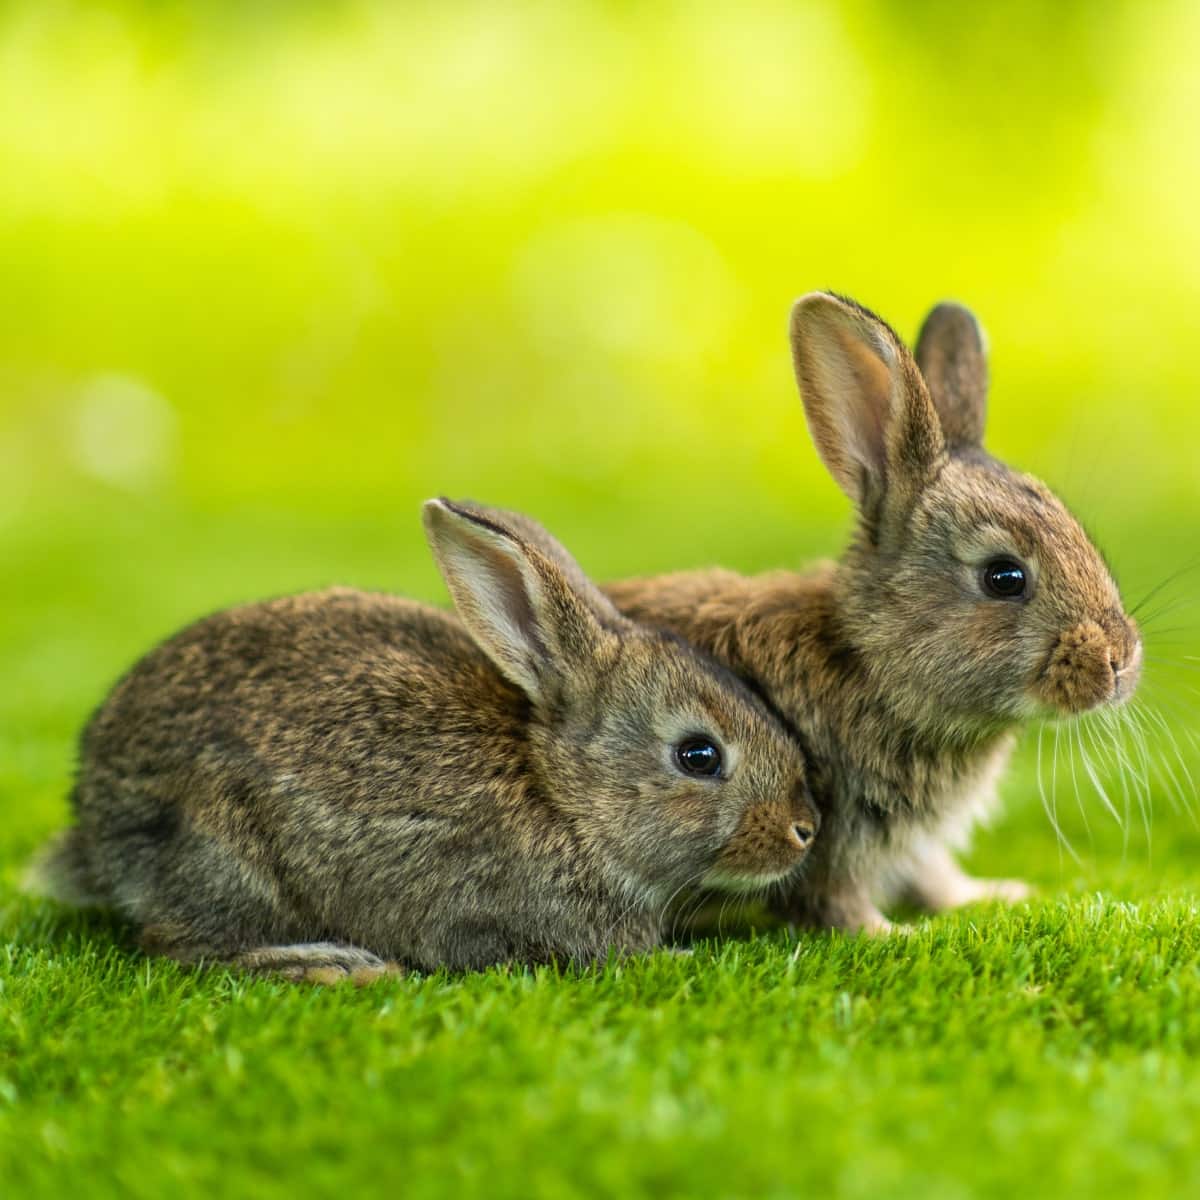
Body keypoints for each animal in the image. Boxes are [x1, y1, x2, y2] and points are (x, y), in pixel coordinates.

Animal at [33, 499, 818, 980]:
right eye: (699, 756)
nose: (805, 829)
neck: (560, 794)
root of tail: (93, 817)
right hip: (225, 851)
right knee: (176, 946)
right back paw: (332, 965)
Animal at [599, 292, 1142, 934]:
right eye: (1004, 577)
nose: (1119, 662)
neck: (868, 661)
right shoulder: (829, 832)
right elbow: (834, 899)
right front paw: (889, 934)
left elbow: (930, 874)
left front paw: (991, 894)